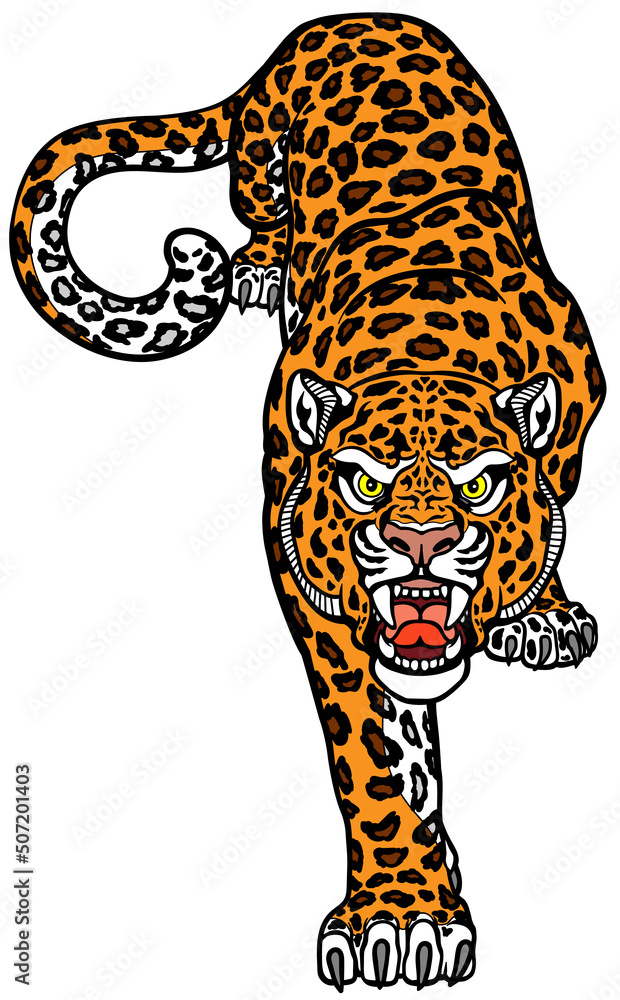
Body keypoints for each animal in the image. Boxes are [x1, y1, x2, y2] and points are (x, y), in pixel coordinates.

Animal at [10, 12, 605, 990]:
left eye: (479, 483)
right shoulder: (305, 575)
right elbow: (375, 752)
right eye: (364, 480)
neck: (427, 343)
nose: (419, 543)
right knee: (263, 210)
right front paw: (404, 912)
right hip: (257, 163)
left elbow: (551, 506)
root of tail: (341, 18)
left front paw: (538, 610)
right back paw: (256, 266)